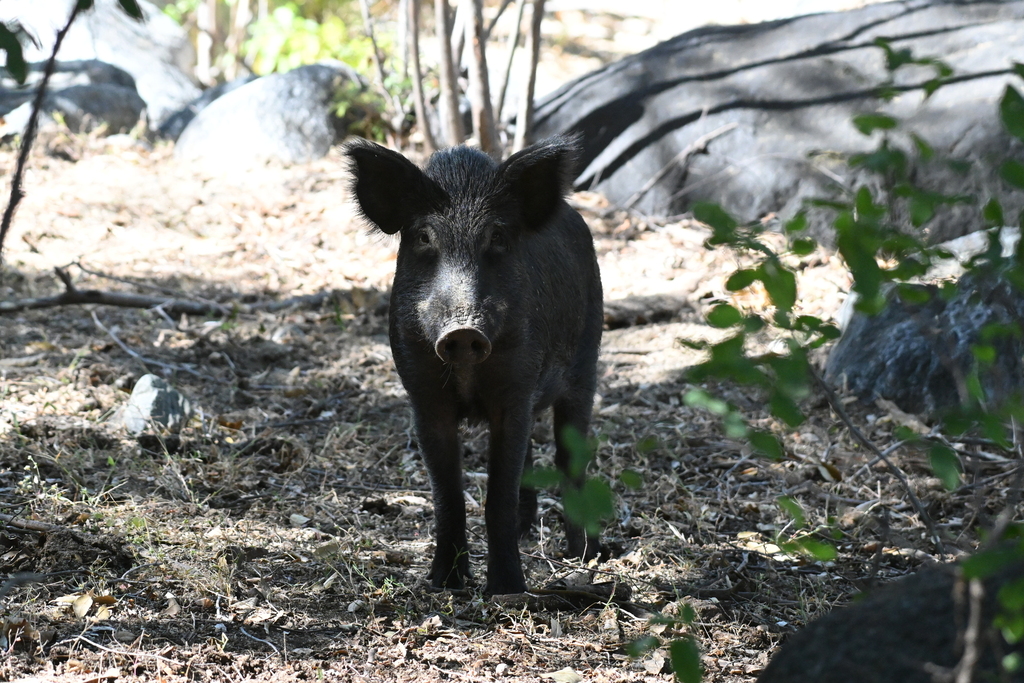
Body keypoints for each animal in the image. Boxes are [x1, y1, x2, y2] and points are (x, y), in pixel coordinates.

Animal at [344, 136, 603, 594]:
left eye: (497, 236)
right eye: (424, 236)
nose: (463, 330)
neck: (467, 377)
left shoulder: (516, 386)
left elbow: (498, 492)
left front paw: (506, 589)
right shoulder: (424, 394)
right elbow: (447, 492)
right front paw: (444, 584)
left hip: (587, 360)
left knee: (568, 457)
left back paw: (585, 556)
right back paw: (528, 533)